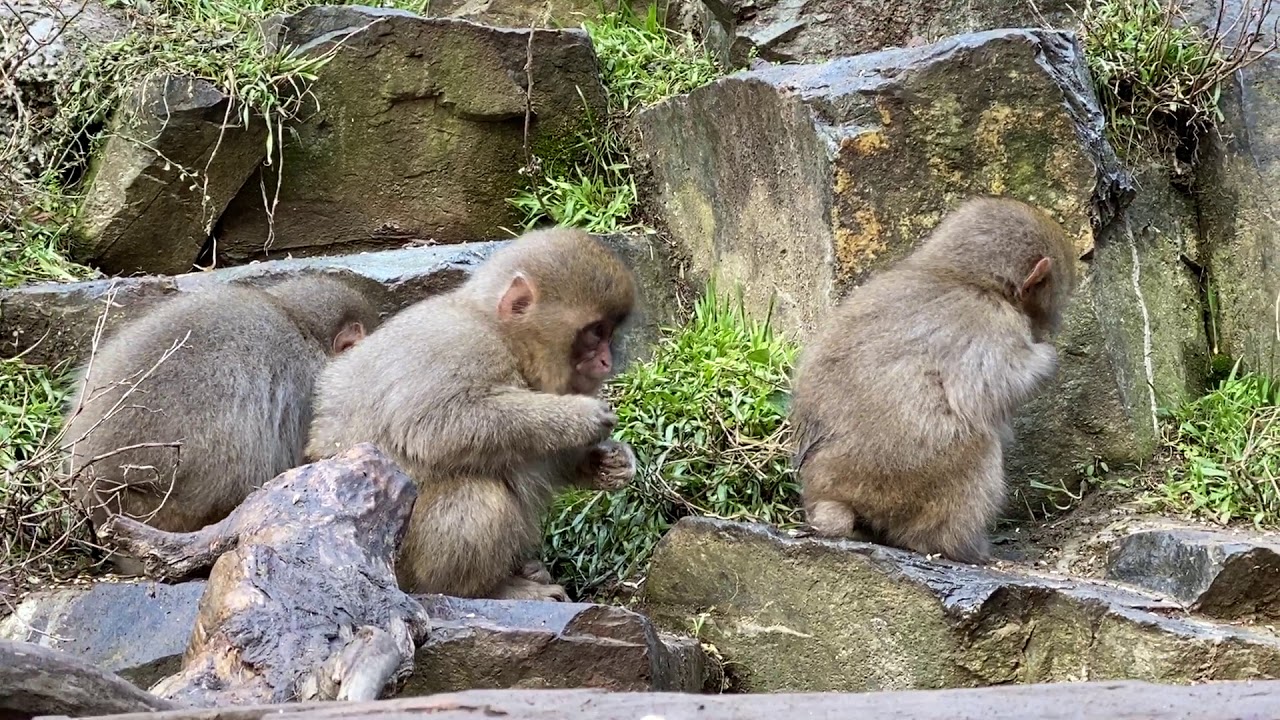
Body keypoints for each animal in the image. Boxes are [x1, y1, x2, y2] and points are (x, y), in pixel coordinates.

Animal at [305, 227, 637, 602]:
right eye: (595, 333)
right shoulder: (464, 347)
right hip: (402, 565)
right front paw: (579, 416)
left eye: (609, 333)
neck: (499, 332)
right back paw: (489, 591)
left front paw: (609, 462)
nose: (607, 361)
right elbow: (434, 426)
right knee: (479, 494)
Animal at [789, 196, 1077, 564]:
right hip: (905, 482)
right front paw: (1047, 358)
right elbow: (992, 387)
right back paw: (957, 547)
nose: (1054, 324)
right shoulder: (989, 321)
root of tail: (834, 493)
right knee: (976, 446)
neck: (960, 275)